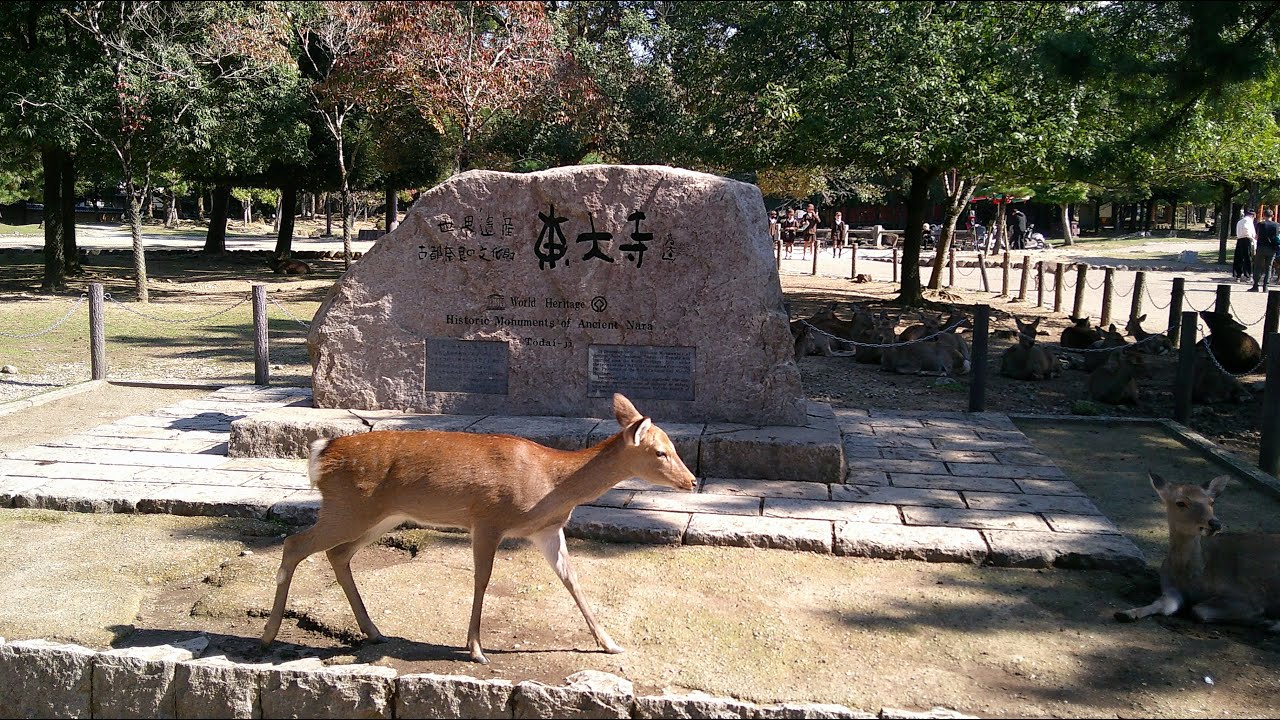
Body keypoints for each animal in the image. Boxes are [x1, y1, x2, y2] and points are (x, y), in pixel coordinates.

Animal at [259, 394, 697, 665]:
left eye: (673, 446)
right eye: (661, 452)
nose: (692, 481)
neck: (551, 482)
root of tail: (320, 454)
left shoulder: (546, 530)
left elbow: (571, 580)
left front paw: (609, 643)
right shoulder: (488, 518)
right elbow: (481, 579)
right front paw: (476, 649)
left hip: (380, 516)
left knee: (337, 554)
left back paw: (374, 631)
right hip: (347, 509)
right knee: (294, 543)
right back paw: (268, 634)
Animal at [1114, 473, 1280, 631]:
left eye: (1212, 502)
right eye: (1180, 502)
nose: (1215, 523)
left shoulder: (1246, 595)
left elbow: (1197, 610)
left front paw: (1267, 621)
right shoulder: (1170, 587)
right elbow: (1161, 605)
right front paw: (1127, 613)